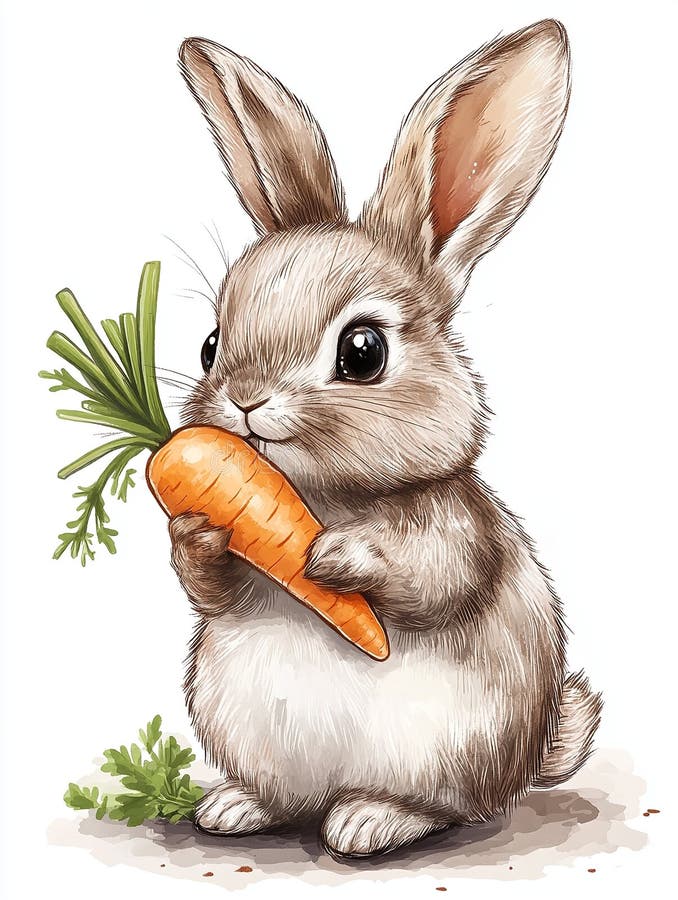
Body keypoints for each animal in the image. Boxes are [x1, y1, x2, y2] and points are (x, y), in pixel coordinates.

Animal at [171, 19, 602, 859]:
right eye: (211, 345)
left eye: (363, 352)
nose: (244, 400)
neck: (317, 496)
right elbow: (213, 586)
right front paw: (199, 531)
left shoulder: (456, 532)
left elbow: (431, 576)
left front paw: (331, 557)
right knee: (285, 797)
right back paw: (235, 807)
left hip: (455, 750)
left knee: (447, 807)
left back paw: (369, 821)